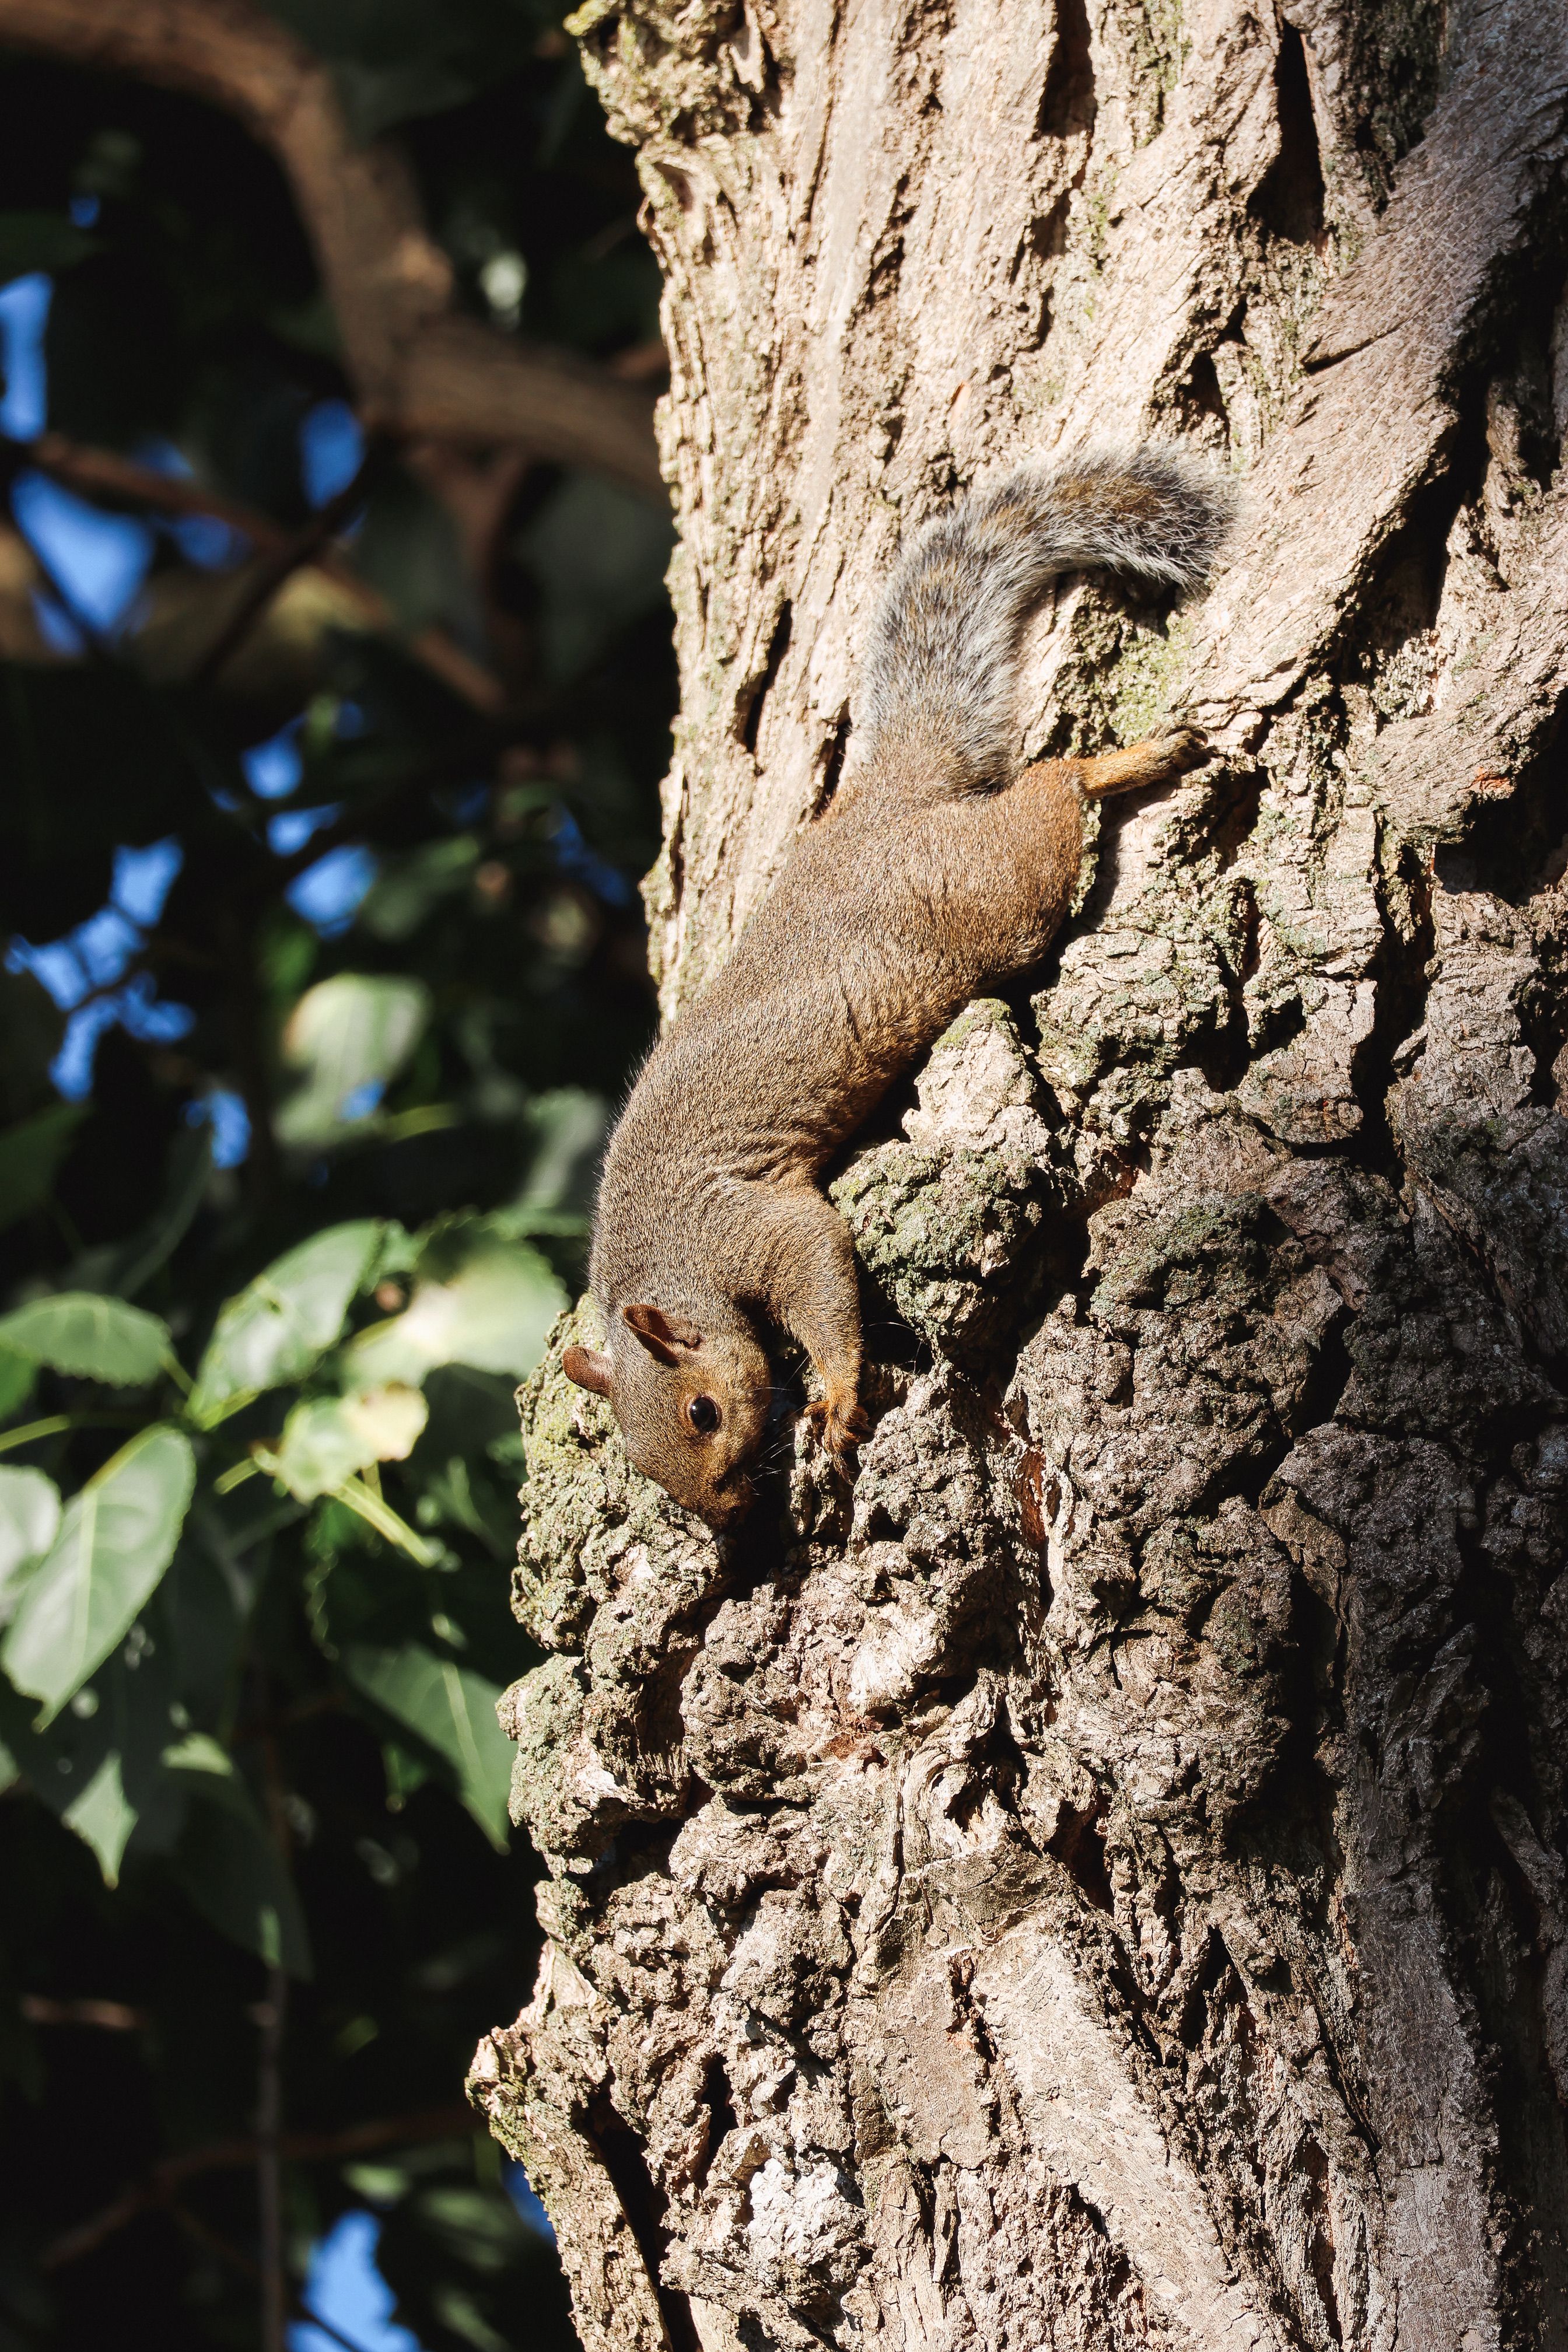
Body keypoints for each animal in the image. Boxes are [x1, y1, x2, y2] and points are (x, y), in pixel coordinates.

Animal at [561, 449, 1233, 1527]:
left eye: (703, 1413)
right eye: (646, 1468)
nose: (730, 1516)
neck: (664, 1260)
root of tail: (886, 803)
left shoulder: (746, 1223)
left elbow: (818, 1265)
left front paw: (835, 1396)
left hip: (986, 893)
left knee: (1055, 790)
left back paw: (1127, 761)